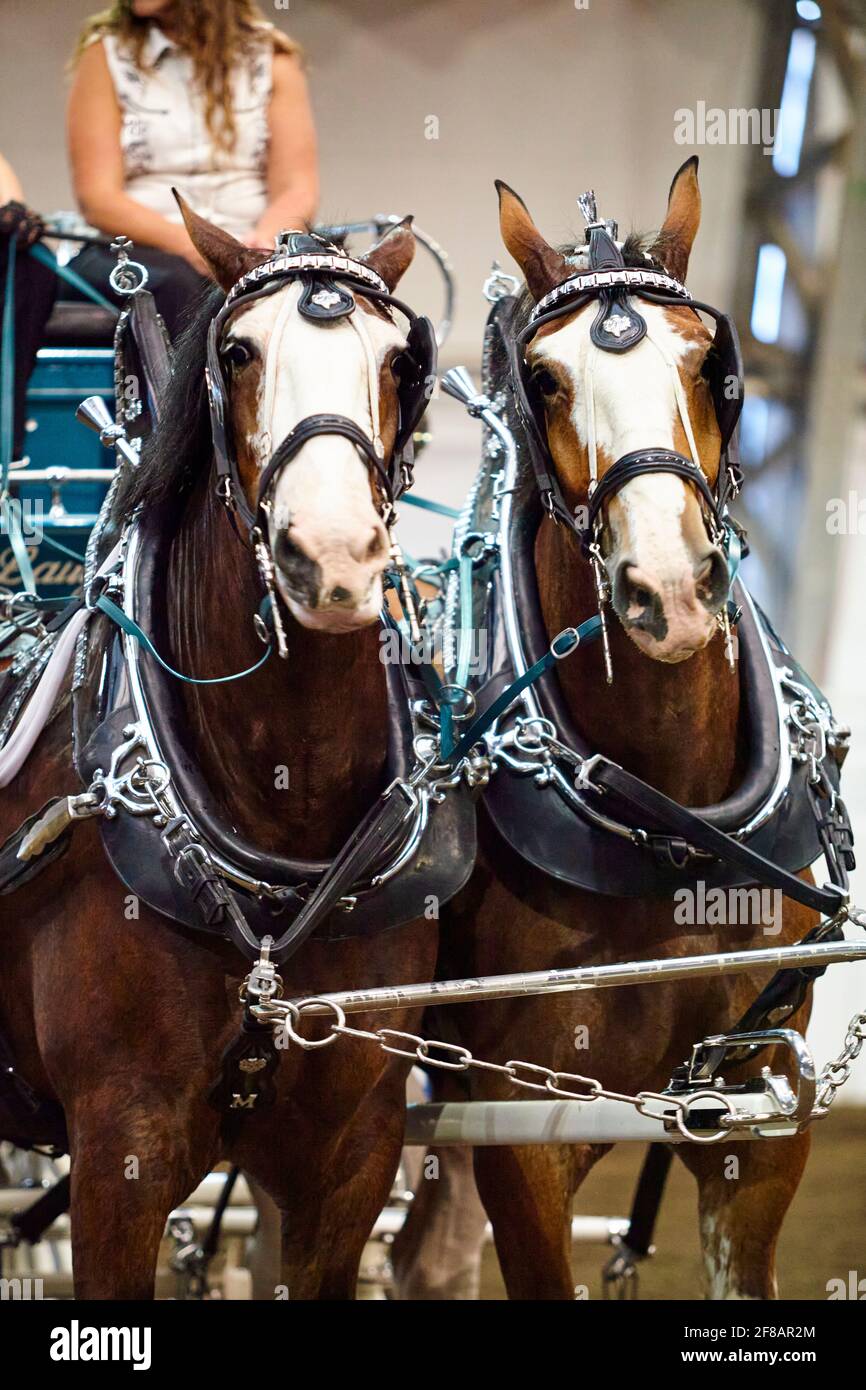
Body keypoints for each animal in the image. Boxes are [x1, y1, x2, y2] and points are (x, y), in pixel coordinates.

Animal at [434, 159, 833, 1300]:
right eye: (544, 378)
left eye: (708, 362)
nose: (671, 591)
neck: (673, 826)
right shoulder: (517, 1130)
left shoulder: (759, 1119)